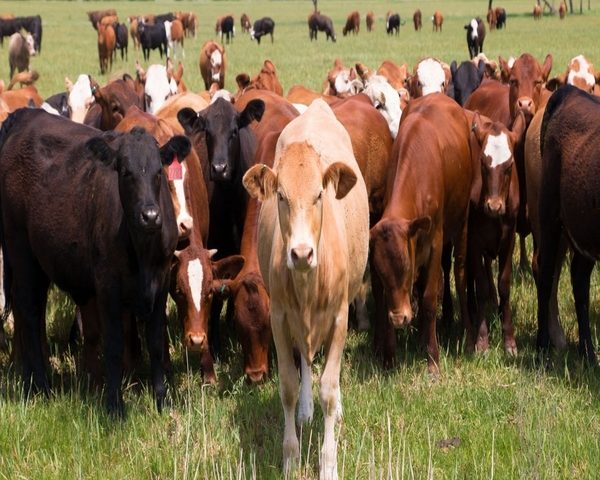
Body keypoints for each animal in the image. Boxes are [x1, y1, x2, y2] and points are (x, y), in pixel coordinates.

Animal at [0, 107, 190, 414]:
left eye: (159, 172)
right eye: (125, 172)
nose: (150, 216)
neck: (142, 251)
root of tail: (28, 115)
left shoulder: (160, 281)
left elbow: (155, 341)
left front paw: (162, 399)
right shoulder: (107, 285)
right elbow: (112, 344)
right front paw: (115, 406)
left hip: (40, 260)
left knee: (31, 308)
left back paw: (31, 381)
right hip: (20, 250)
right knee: (27, 309)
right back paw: (40, 386)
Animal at [370, 94, 474, 372]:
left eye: (405, 267)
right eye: (380, 274)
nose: (399, 318)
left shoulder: (435, 242)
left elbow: (428, 299)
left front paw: (432, 360)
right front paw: (389, 358)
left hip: (462, 222)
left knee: (460, 273)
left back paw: (469, 337)